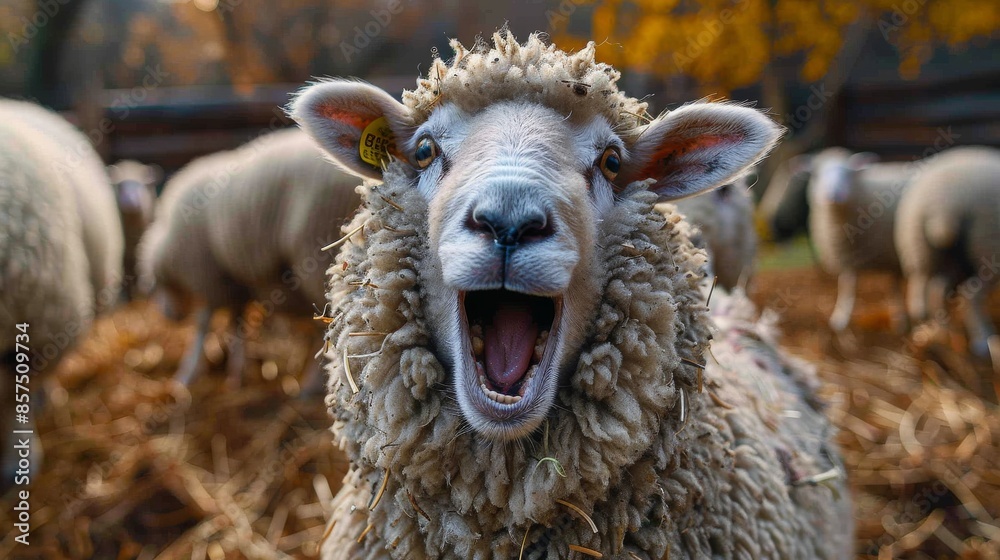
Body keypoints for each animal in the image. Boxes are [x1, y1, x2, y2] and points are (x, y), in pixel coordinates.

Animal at [137, 128, 363, 391]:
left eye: (154, 284)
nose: (168, 316)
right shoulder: (233, 282)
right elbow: (237, 324)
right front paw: (237, 373)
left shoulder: (209, 277)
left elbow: (203, 324)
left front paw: (188, 374)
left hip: (315, 252)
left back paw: (312, 384)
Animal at [805, 148, 917, 332]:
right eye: (816, 174)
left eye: (848, 173)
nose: (833, 195)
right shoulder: (848, 257)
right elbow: (847, 286)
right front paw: (840, 318)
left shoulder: (893, 255)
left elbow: (894, 288)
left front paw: (900, 319)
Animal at [894, 145, 1000, 359]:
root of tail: (944, 204)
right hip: (988, 247)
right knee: (971, 296)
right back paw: (982, 342)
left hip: (934, 252)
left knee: (934, 287)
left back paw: (942, 333)